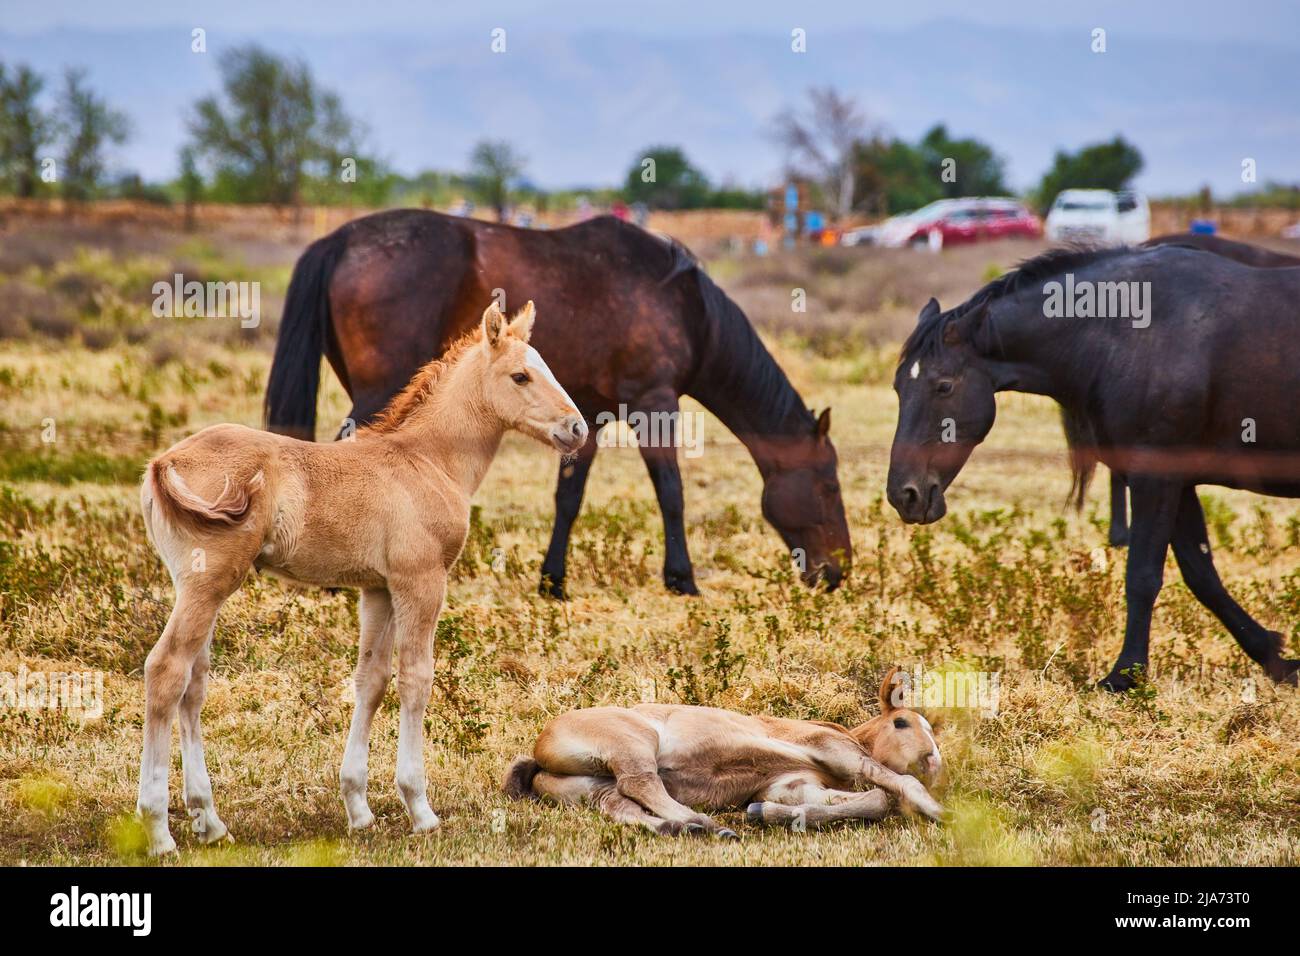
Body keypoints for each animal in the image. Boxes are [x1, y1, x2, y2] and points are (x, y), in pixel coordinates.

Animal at [137, 301, 584, 855]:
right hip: (207, 585)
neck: (428, 460)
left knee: (193, 684)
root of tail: (165, 461)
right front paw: (420, 808)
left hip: (200, 588)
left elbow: (371, 680)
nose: (576, 428)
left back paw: (211, 821)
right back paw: (158, 830)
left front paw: (358, 808)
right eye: (520, 375)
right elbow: (416, 679)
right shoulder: (421, 581)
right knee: (166, 672)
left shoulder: (377, 590)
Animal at [263, 210, 851, 597]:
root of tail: (340, 238)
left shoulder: (588, 415)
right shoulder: (654, 403)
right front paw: (681, 578)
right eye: (828, 484)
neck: (685, 308)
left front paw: (553, 579)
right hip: (377, 390)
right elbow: (672, 493)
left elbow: (569, 497)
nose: (838, 572)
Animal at [502, 667, 943, 836]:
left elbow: (866, 801)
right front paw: (940, 811)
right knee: (642, 784)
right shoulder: (837, 752)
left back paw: (681, 827)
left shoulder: (791, 786)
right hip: (632, 744)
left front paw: (762, 813)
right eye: (902, 722)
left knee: (622, 805)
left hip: (592, 787)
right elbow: (892, 788)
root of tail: (538, 753)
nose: (934, 761)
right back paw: (705, 823)